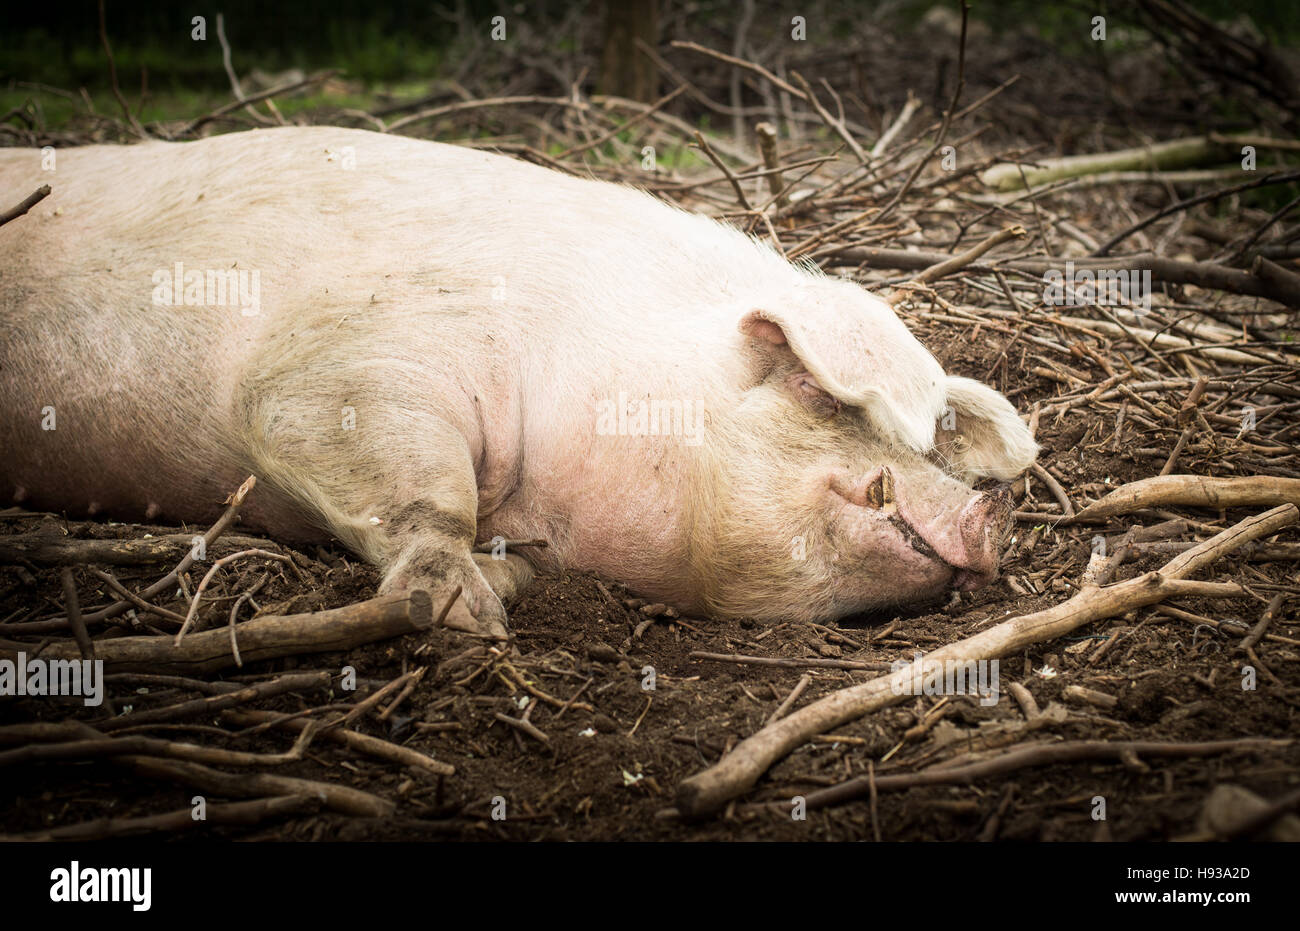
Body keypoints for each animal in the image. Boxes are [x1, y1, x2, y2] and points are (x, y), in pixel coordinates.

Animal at [0, 127, 1038, 638]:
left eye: (935, 442)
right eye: (822, 395)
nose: (988, 513)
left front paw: (504, 585)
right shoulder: (335, 363)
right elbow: (419, 487)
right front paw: (471, 613)